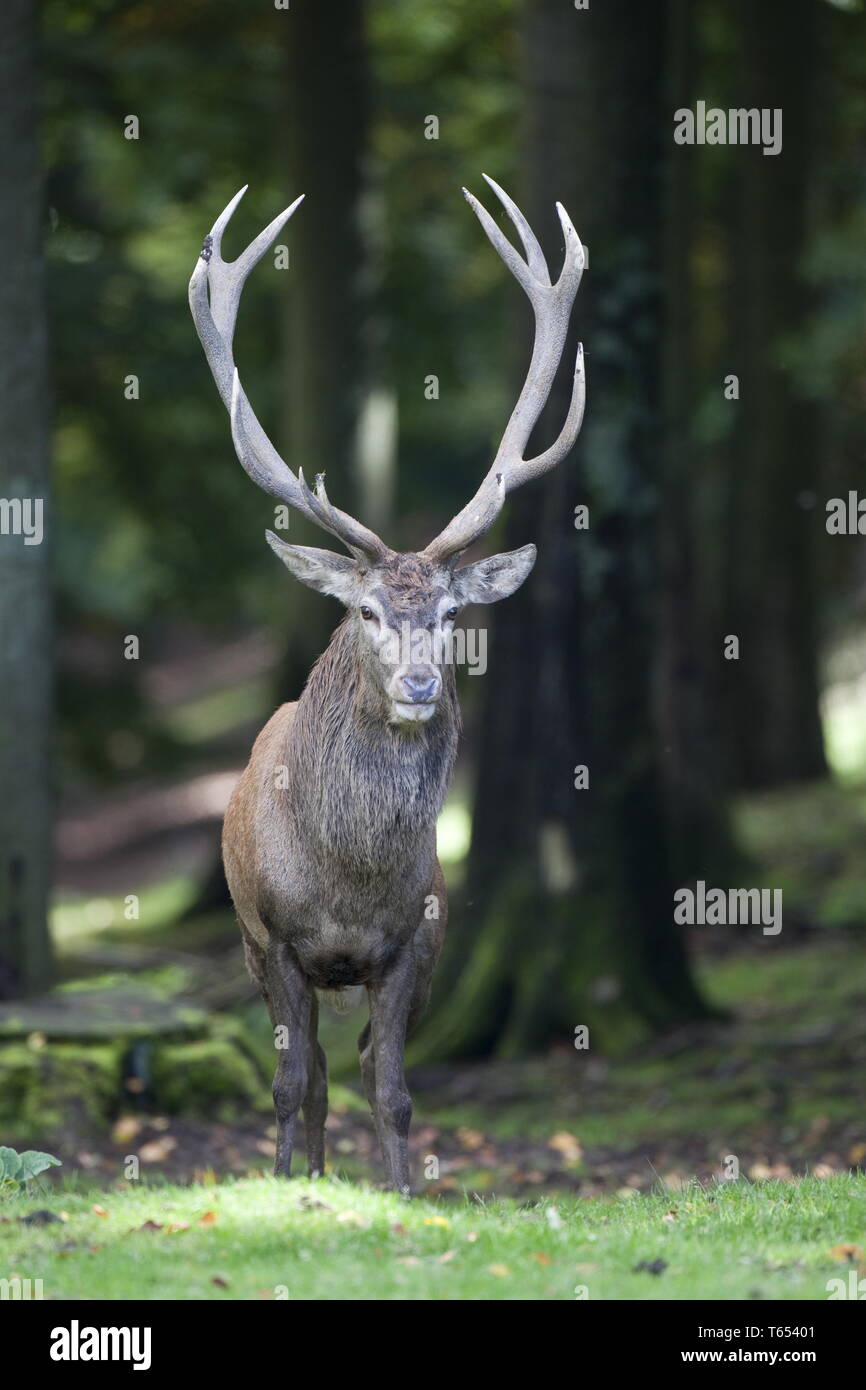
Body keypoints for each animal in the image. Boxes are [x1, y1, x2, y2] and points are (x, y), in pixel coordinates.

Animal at [189, 175, 585, 1195]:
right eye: (367, 610)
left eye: (447, 613)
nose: (414, 685)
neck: (348, 882)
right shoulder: (276, 939)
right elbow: (292, 1082)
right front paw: (288, 1183)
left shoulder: (417, 940)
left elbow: (396, 1086)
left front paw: (404, 1195)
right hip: (248, 944)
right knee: (316, 1073)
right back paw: (313, 1175)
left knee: (360, 1064)